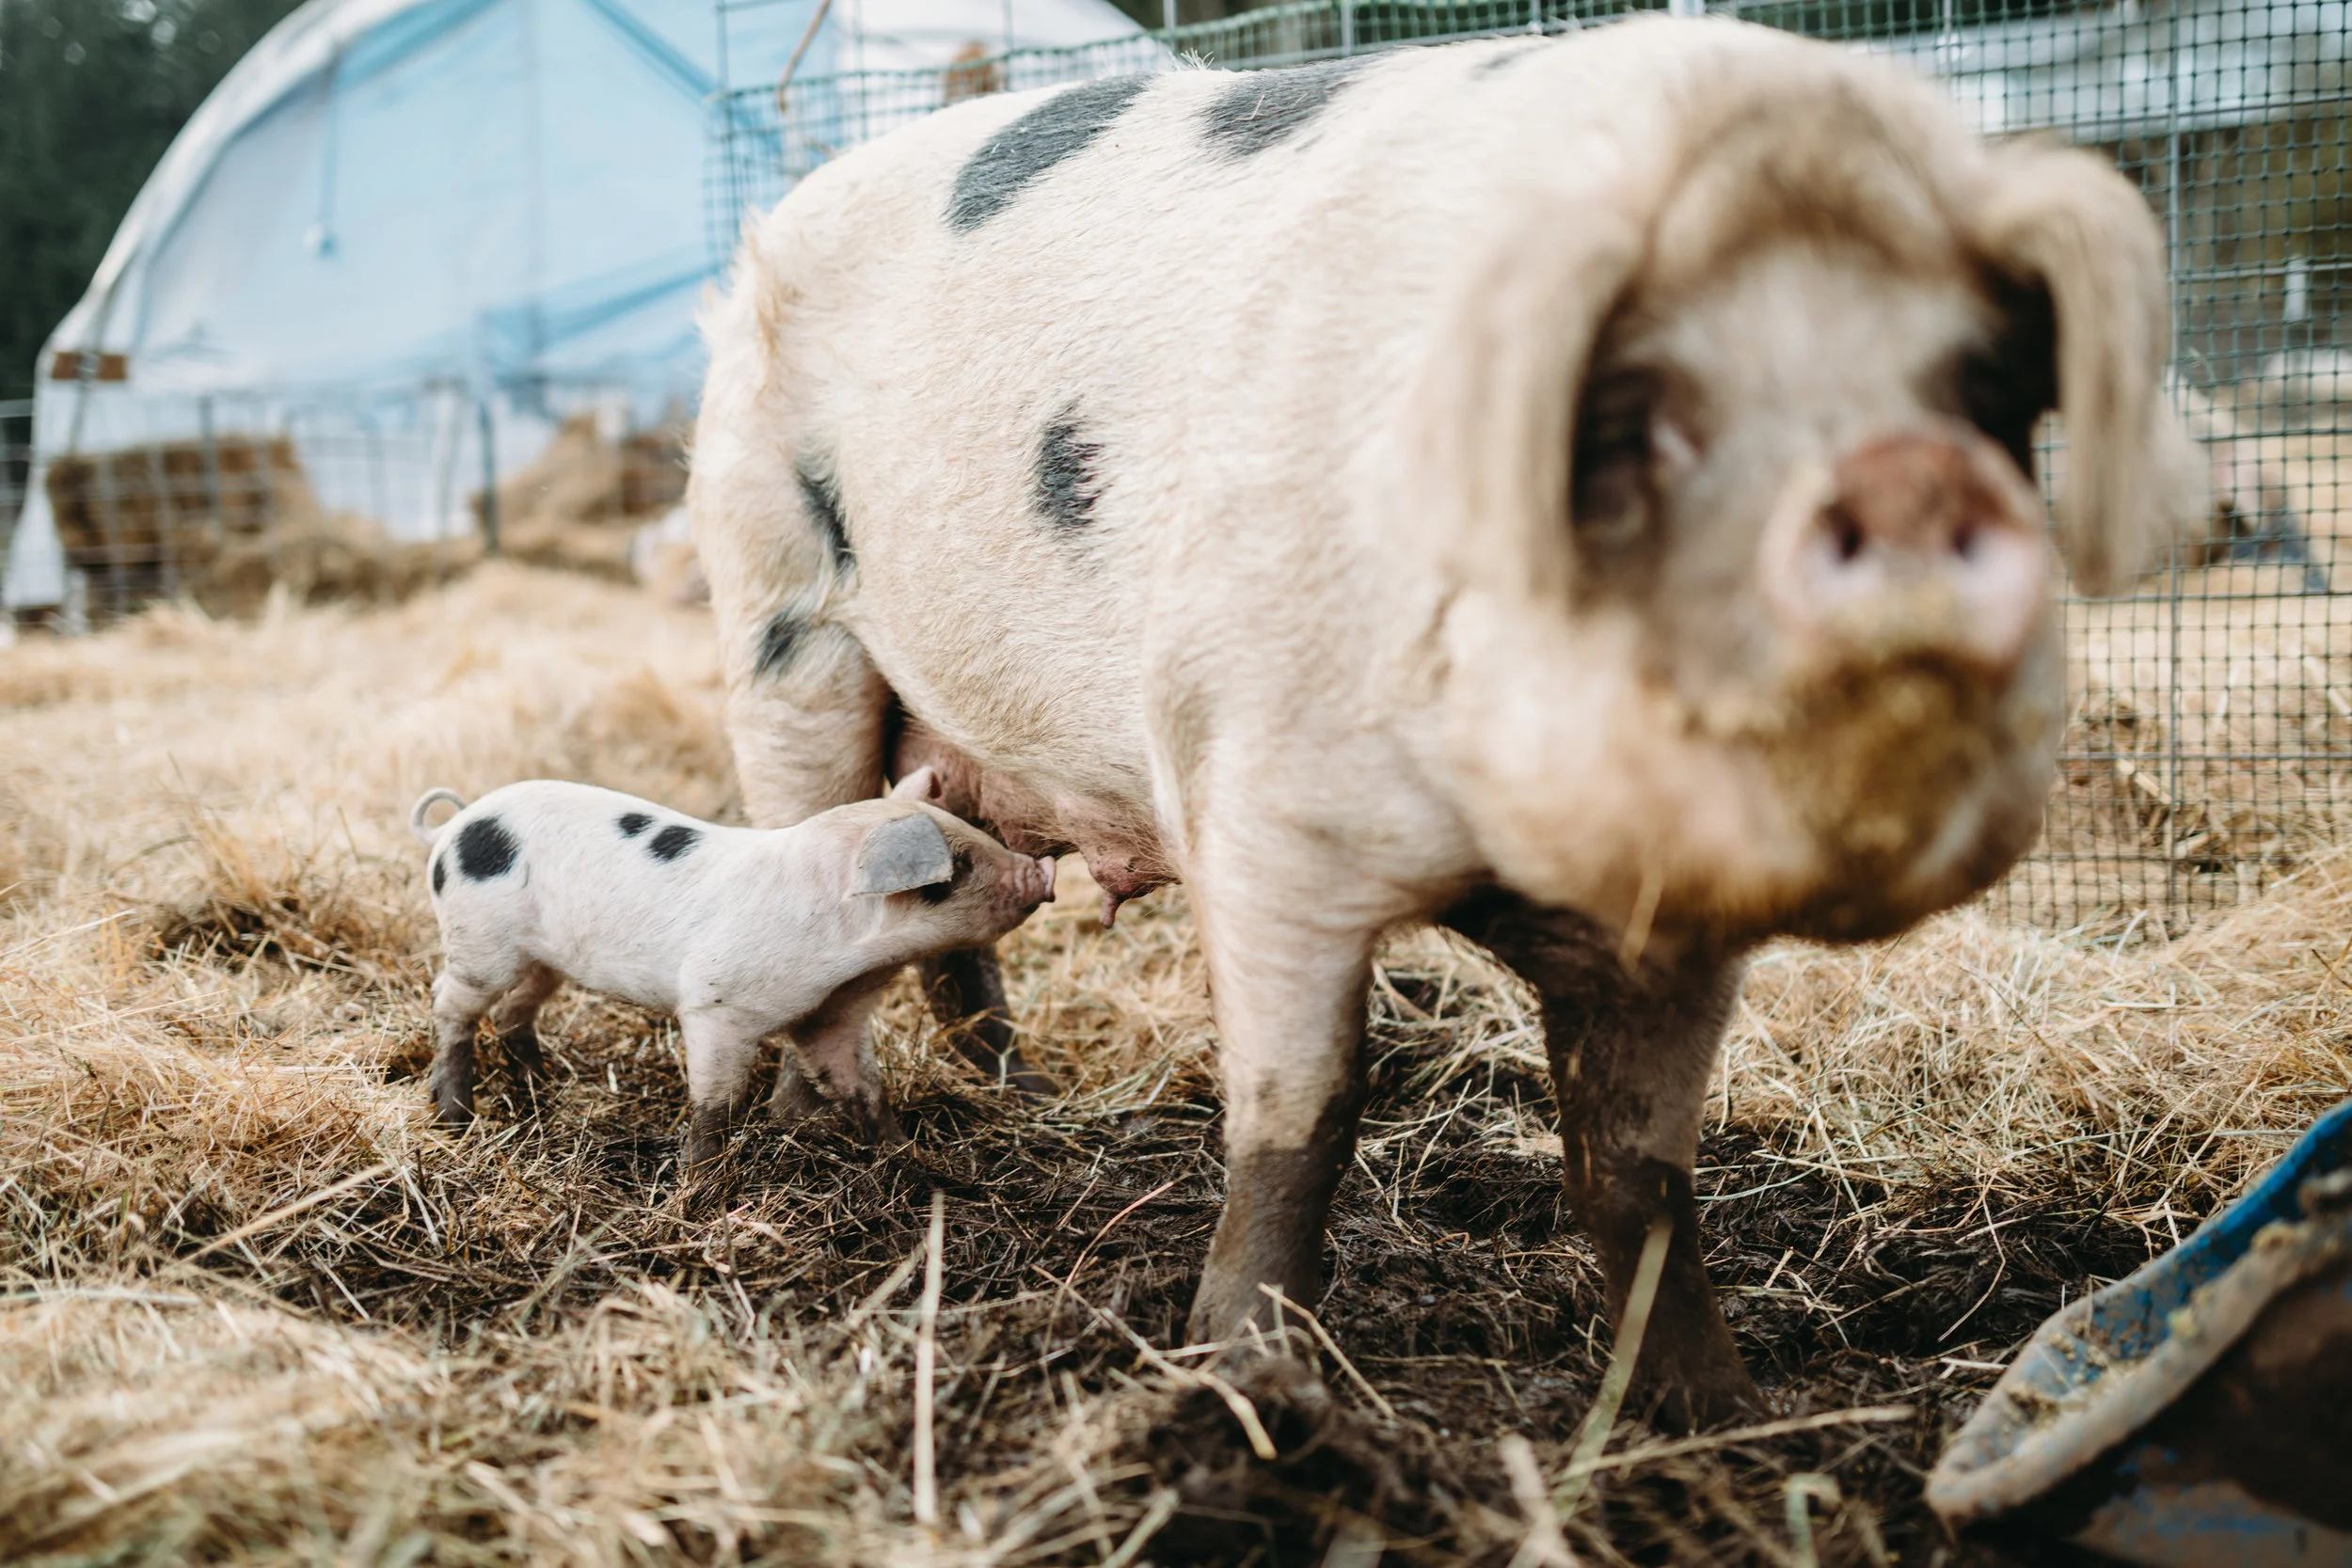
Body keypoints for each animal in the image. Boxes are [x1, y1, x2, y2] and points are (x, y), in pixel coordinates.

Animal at [408, 771, 1056, 1163]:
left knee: (516, 1011)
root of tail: (454, 826)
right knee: (450, 1004)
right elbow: (717, 1105)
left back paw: (544, 1088)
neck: (850, 960)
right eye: (958, 867)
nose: (1043, 870)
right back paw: (455, 1117)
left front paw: (907, 1157)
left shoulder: (831, 1013)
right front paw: (697, 1180)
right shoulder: (716, 1005)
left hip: (545, 959)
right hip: (480, 942)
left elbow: (864, 1088)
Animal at [689, 17, 2206, 1426]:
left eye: (1989, 389)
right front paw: (1246, 1385)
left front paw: (1714, 1413)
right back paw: (823, 1134)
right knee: (822, 865)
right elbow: (1305, 1116)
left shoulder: (1679, 928)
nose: (1902, 474)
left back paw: (1023, 1091)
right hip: (776, 620)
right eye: (1630, 414)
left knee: (950, 905)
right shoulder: (1246, 792)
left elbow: (1638, 1168)